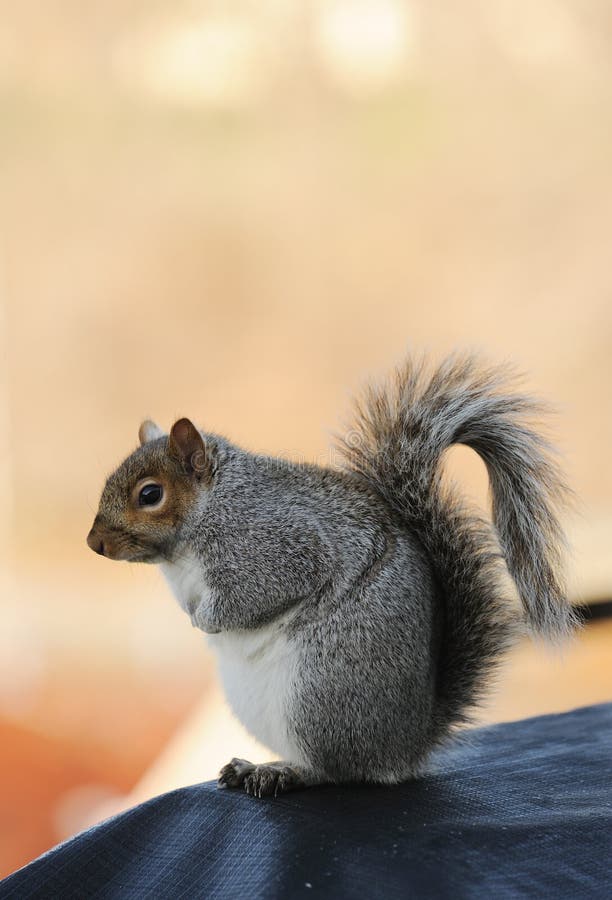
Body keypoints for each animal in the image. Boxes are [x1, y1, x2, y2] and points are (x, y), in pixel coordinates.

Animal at [87, 354, 577, 798]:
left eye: (150, 494)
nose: (94, 543)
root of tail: (409, 744)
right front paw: (193, 619)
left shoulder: (276, 547)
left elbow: (256, 594)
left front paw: (207, 621)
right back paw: (252, 766)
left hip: (321, 693)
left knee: (340, 770)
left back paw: (286, 772)